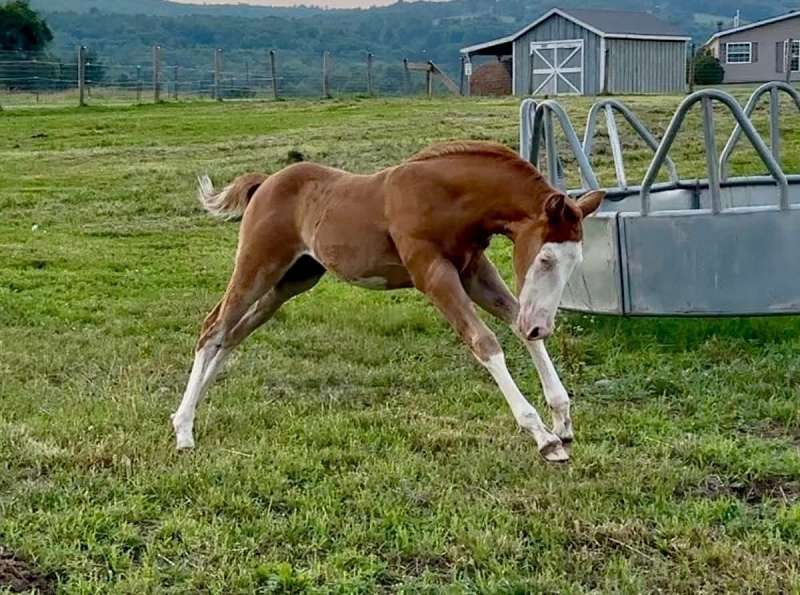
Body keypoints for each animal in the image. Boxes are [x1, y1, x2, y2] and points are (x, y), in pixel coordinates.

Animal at [171, 141, 604, 462]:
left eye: (575, 262)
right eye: (545, 259)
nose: (541, 325)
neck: (448, 197)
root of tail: (265, 183)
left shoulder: (473, 271)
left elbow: (513, 323)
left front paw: (562, 422)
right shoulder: (433, 274)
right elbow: (485, 341)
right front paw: (542, 436)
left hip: (292, 281)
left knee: (233, 333)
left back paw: (181, 414)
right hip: (258, 265)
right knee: (213, 329)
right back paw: (184, 431)